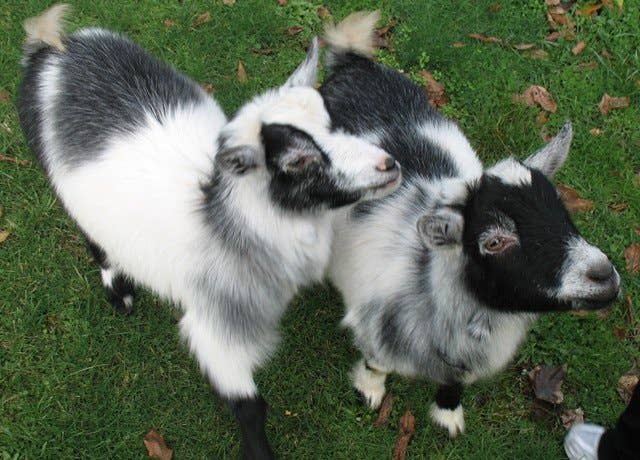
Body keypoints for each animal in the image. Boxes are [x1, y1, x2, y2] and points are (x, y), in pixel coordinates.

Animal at [17, 5, 401, 458]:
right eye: (297, 162)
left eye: (332, 119)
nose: (389, 165)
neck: (223, 217)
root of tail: (54, 47)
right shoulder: (214, 326)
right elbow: (250, 406)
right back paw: (119, 291)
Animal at [321, 11, 621, 438]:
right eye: (493, 242)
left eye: (563, 213)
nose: (603, 276)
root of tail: (352, 63)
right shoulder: (376, 326)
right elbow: (376, 363)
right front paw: (369, 391)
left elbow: (454, 384)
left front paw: (448, 415)